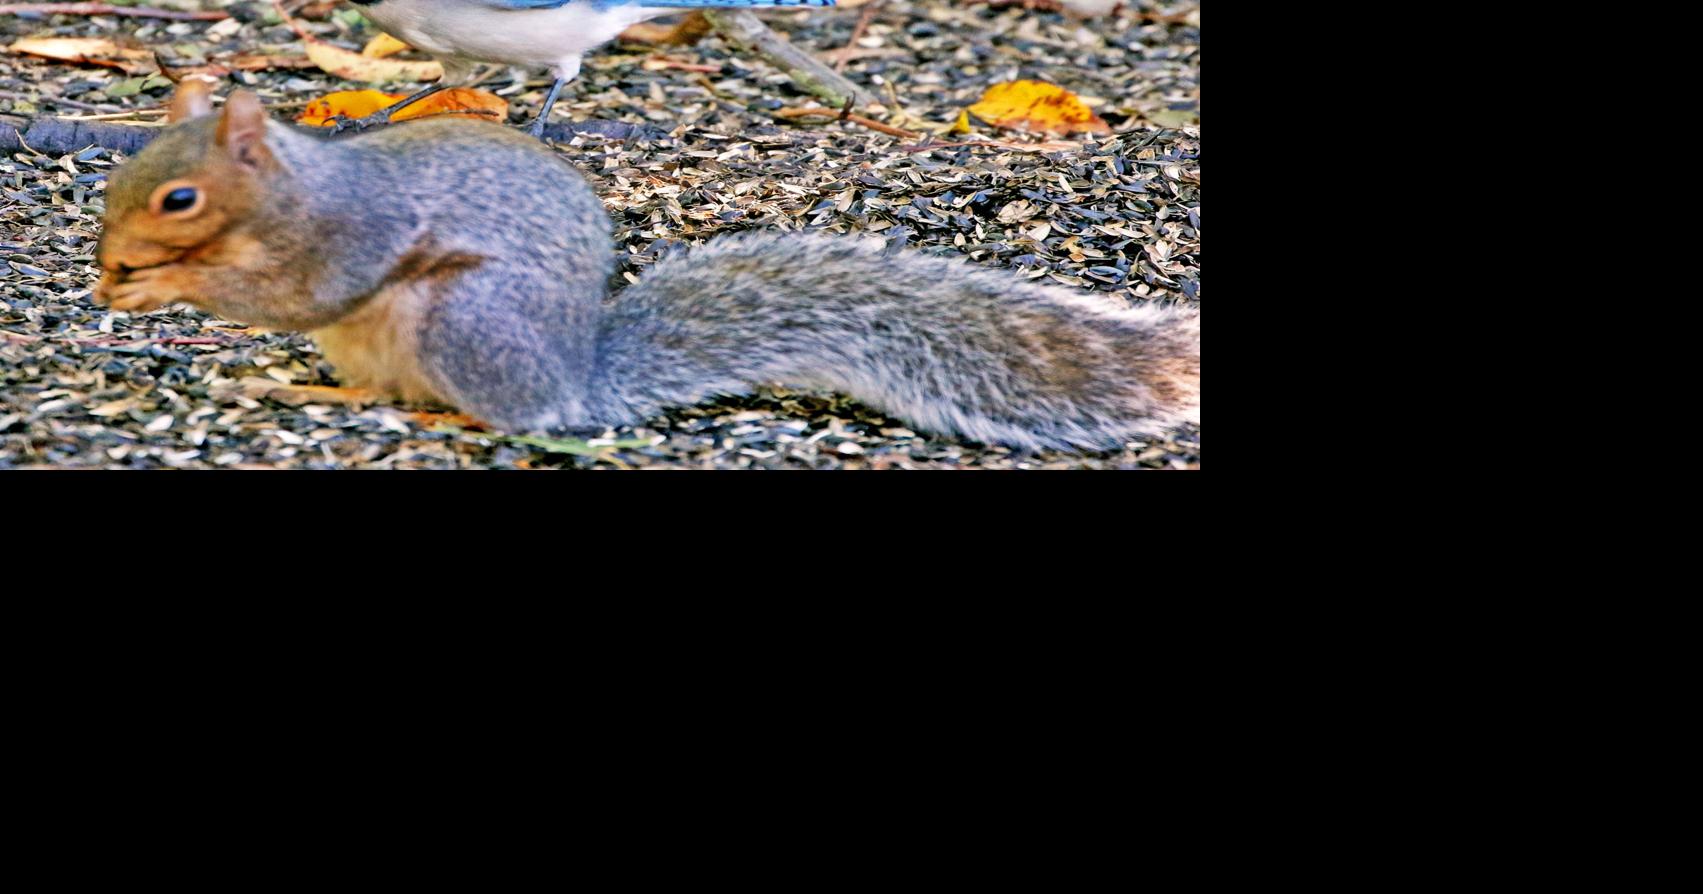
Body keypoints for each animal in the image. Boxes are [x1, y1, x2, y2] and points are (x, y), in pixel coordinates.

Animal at [93, 84, 1199, 451]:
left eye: (178, 198)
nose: (108, 266)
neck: (288, 191)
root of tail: (575, 378)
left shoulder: (350, 235)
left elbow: (295, 292)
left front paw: (167, 284)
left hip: (462, 320)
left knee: (491, 412)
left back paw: (422, 414)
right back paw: (292, 385)